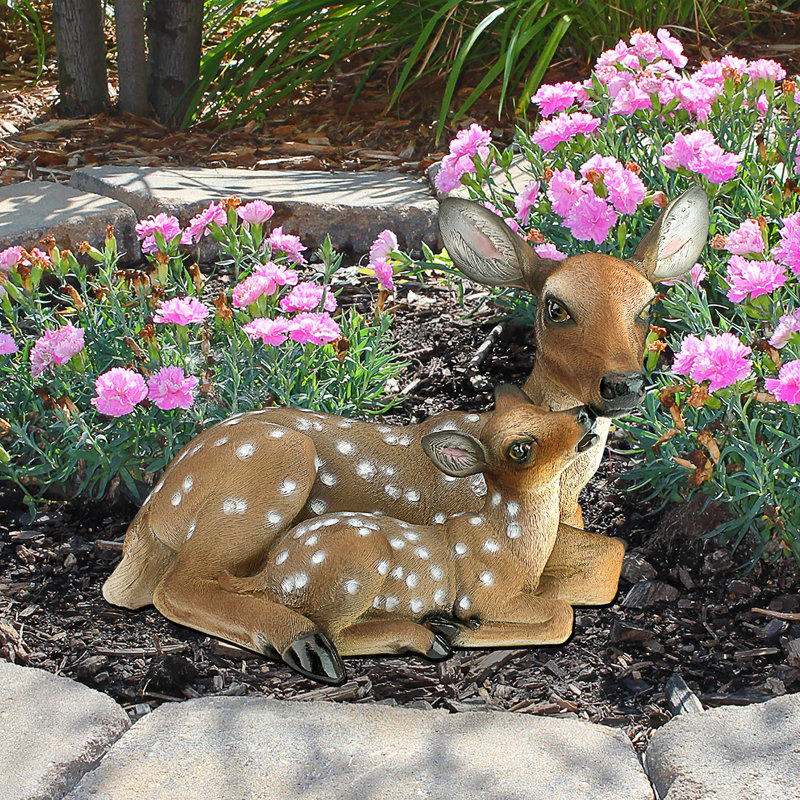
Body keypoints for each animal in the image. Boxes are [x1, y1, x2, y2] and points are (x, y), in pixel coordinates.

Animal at [103, 187, 709, 658]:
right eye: (554, 307)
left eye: (647, 307)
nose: (623, 385)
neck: (563, 493)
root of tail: (149, 514)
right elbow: (608, 557)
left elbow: (609, 553)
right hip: (267, 476)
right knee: (181, 587)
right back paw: (307, 638)